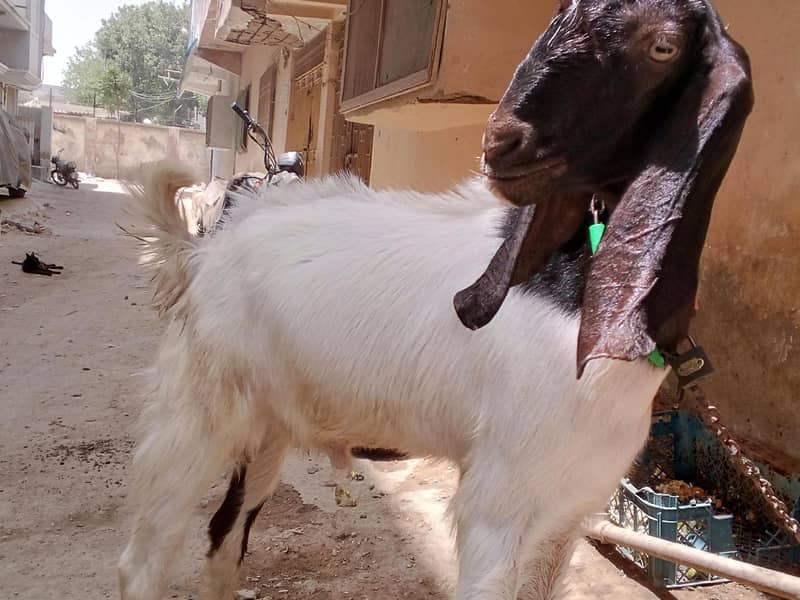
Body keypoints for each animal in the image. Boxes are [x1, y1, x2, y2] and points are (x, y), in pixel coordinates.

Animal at [119, 1, 753, 599]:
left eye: (663, 46)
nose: (503, 143)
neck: (576, 300)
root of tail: (202, 252)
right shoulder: (499, 499)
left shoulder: (568, 507)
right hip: (200, 407)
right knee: (145, 555)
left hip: (269, 425)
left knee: (224, 537)